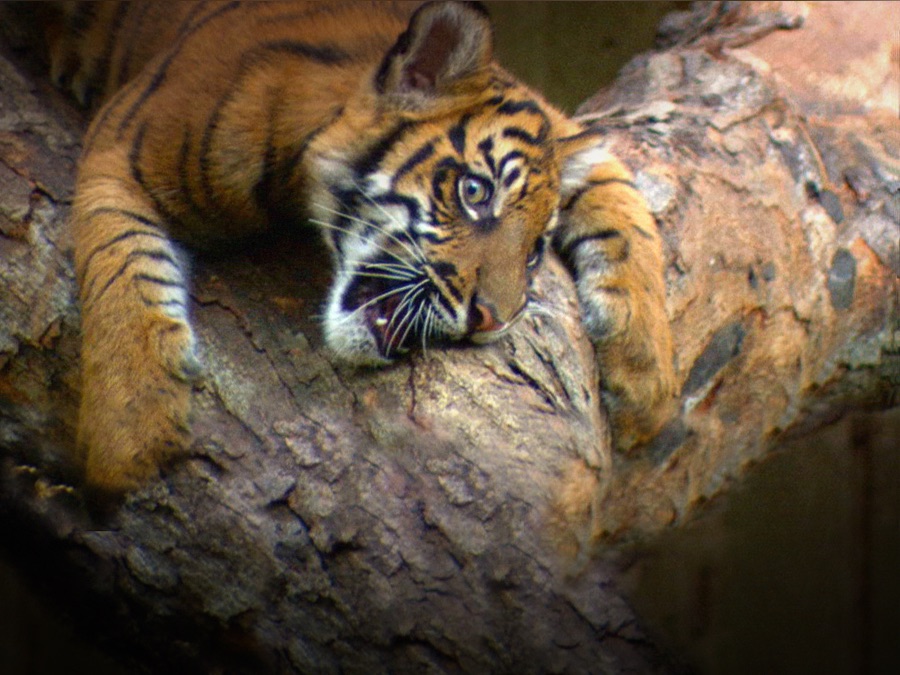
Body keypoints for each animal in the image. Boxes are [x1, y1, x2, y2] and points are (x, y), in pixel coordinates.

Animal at [38, 0, 676, 494]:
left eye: (535, 251)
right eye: (475, 192)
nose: (491, 320)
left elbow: (629, 202)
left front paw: (649, 387)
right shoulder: (119, 149)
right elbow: (120, 267)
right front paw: (129, 441)